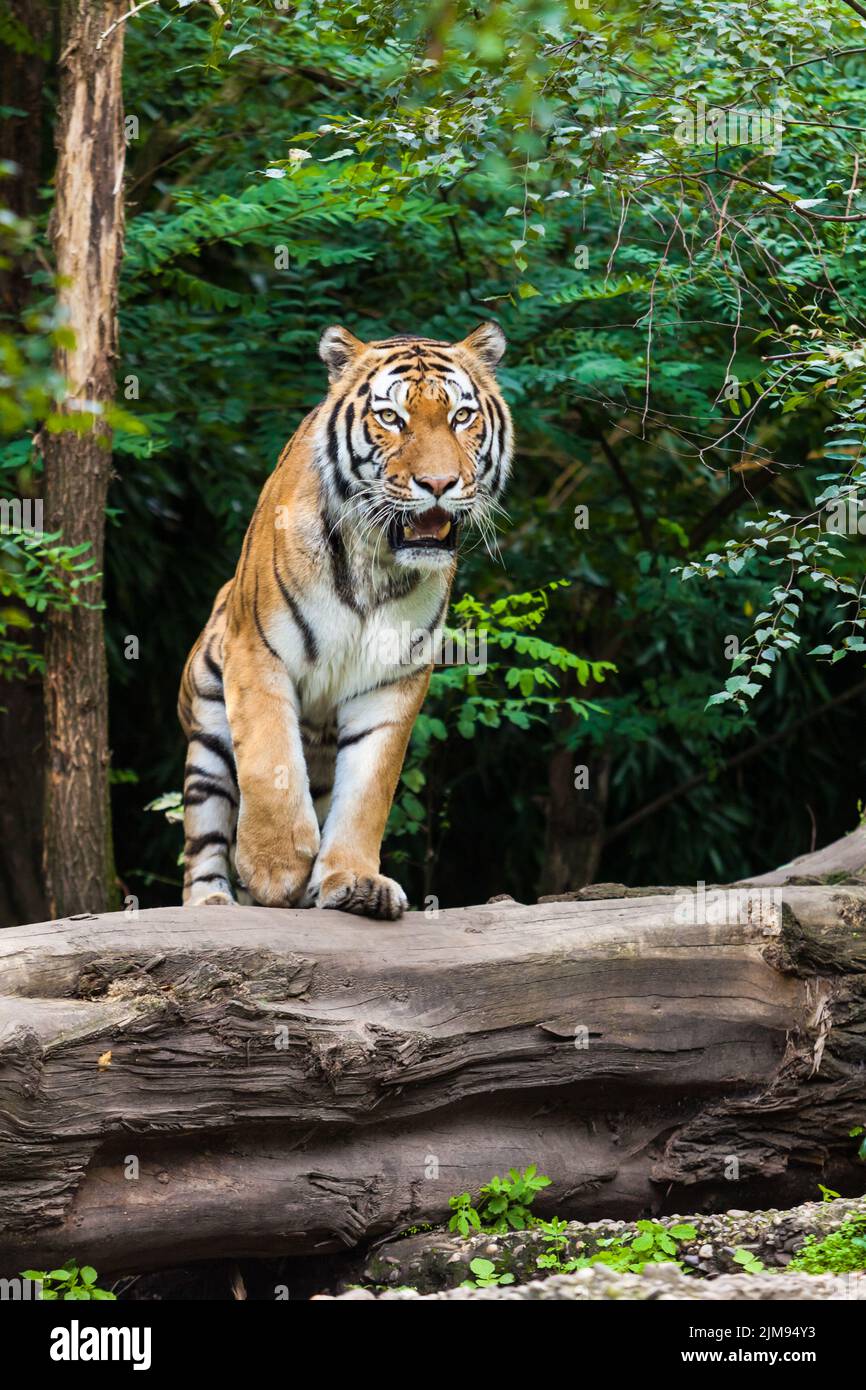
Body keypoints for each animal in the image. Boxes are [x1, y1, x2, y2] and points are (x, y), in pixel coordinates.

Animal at [177, 321, 513, 919]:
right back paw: (215, 903)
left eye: (461, 416)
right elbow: (269, 760)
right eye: (392, 418)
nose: (439, 483)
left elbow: (368, 792)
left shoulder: (393, 680)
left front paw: (352, 880)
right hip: (208, 744)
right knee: (204, 843)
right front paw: (274, 865)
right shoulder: (257, 653)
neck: (376, 564)